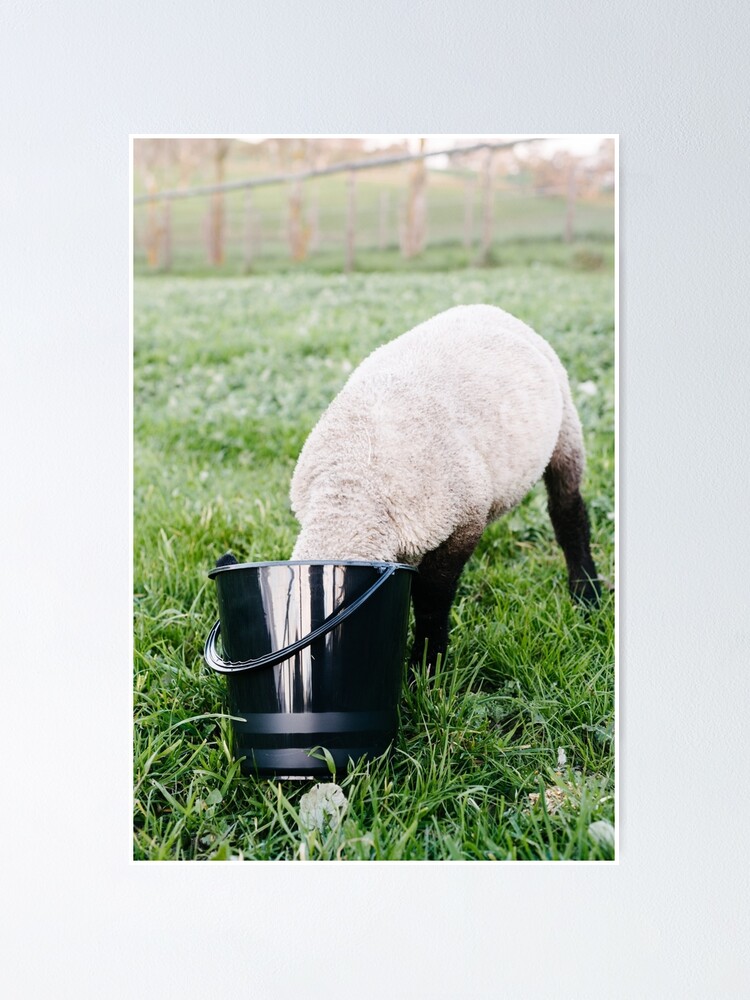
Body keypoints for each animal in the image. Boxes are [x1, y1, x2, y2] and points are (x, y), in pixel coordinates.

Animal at [290, 303, 601, 669]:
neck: (354, 487)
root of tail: (484, 307)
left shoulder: (464, 518)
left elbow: (431, 598)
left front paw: (427, 664)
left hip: (565, 431)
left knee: (569, 513)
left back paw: (586, 592)